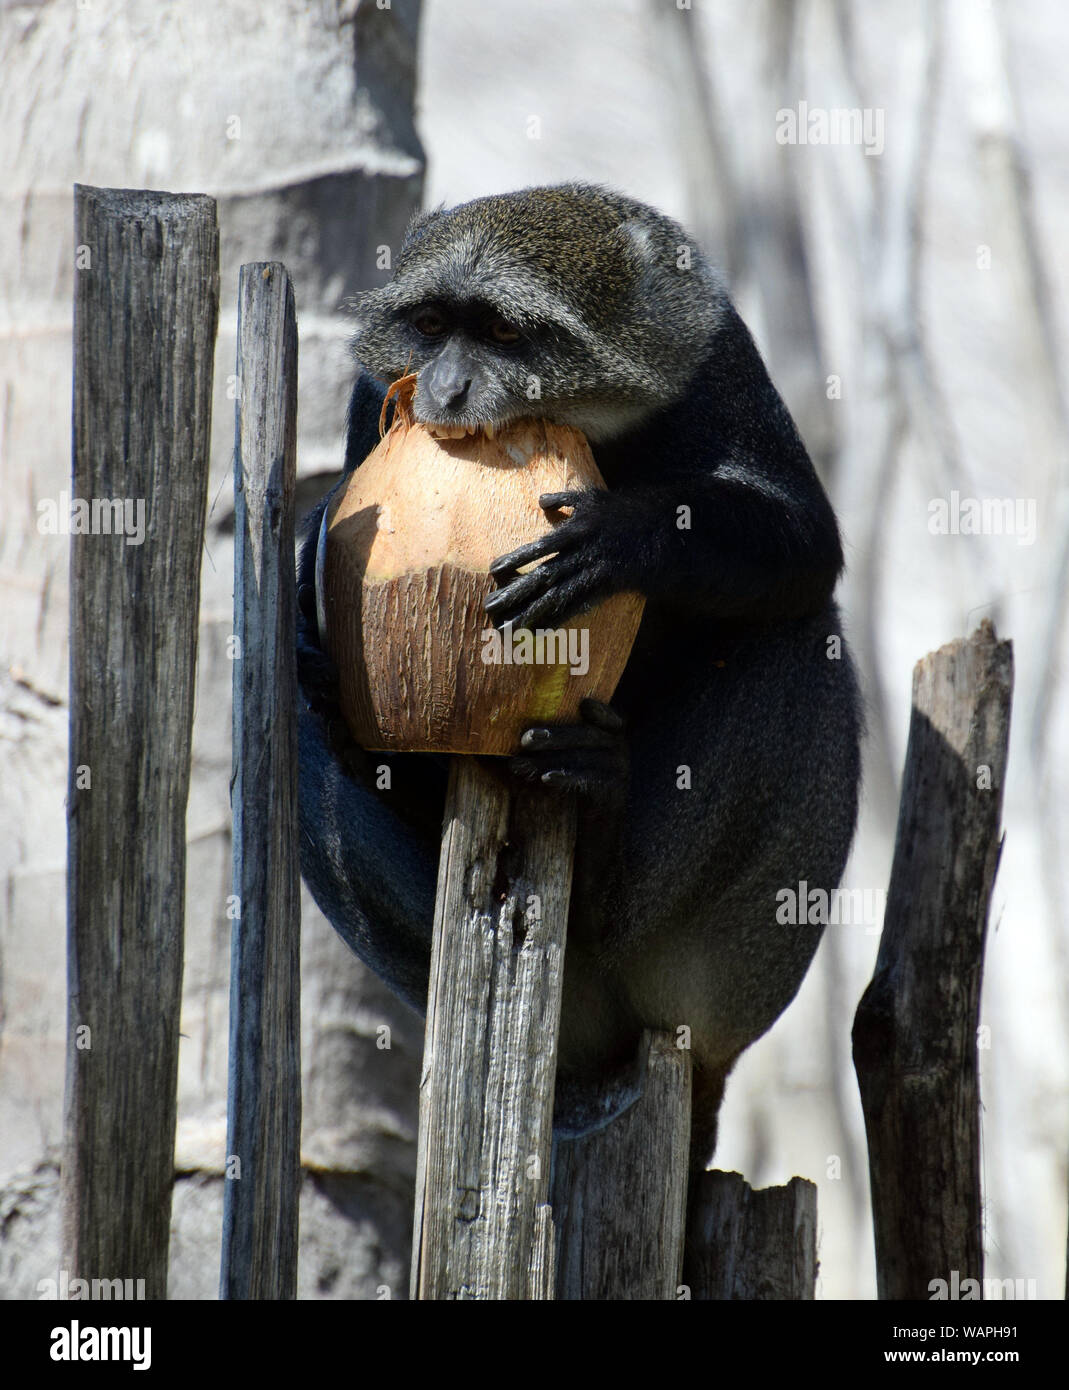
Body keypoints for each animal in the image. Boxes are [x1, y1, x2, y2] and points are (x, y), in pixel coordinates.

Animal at [295, 183, 862, 1170]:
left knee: (797, 638)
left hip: (717, 968)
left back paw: (597, 820)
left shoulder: (713, 358)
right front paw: (309, 569)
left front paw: (620, 539)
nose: (445, 390)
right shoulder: (375, 394)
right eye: (433, 325)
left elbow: (805, 544)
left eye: (505, 333)